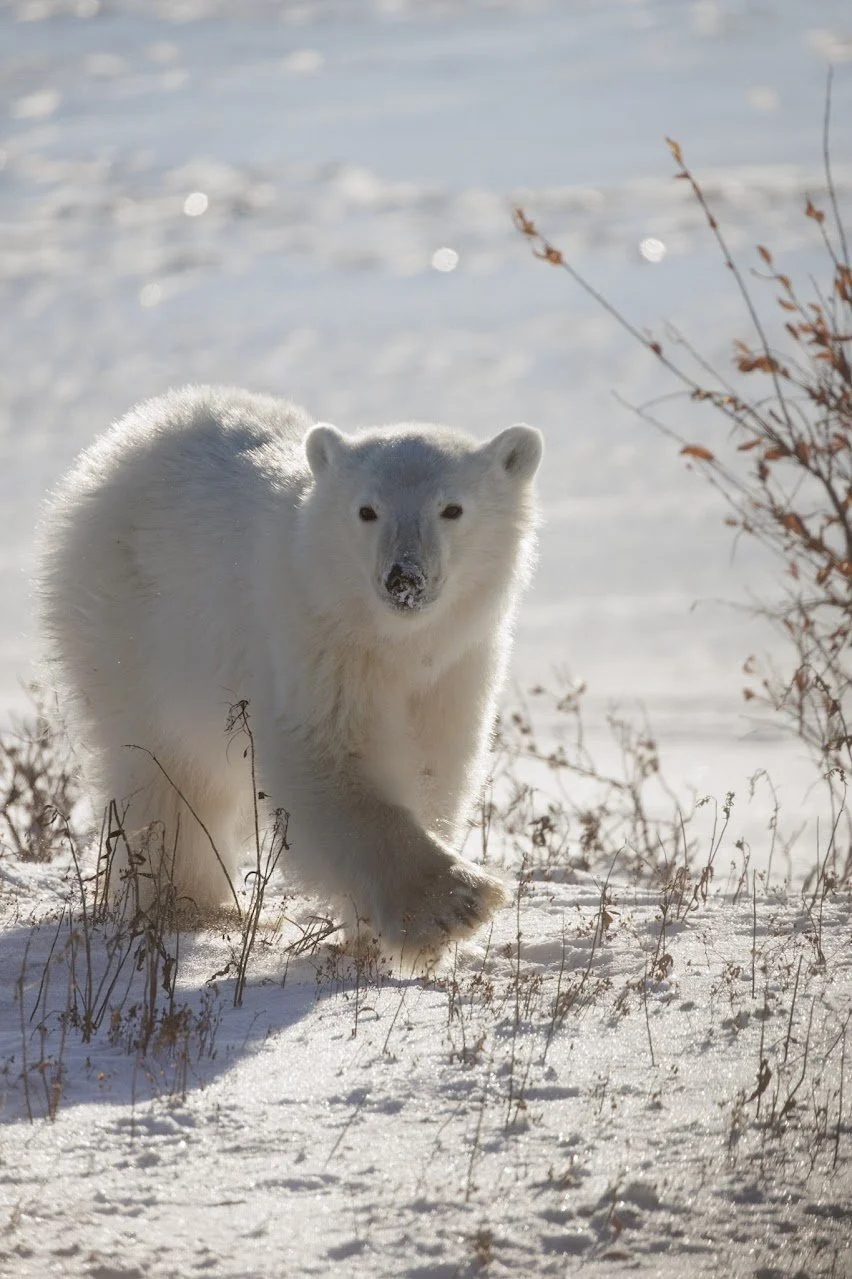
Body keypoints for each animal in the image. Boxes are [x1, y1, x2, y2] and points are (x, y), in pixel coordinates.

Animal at [36, 385, 543, 957]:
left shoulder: (457, 664)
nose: (404, 578)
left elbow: (436, 760)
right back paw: (182, 901)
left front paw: (378, 937)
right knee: (163, 765)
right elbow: (325, 757)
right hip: (133, 617)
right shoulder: (317, 640)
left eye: (452, 508)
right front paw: (453, 904)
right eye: (367, 510)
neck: (393, 640)